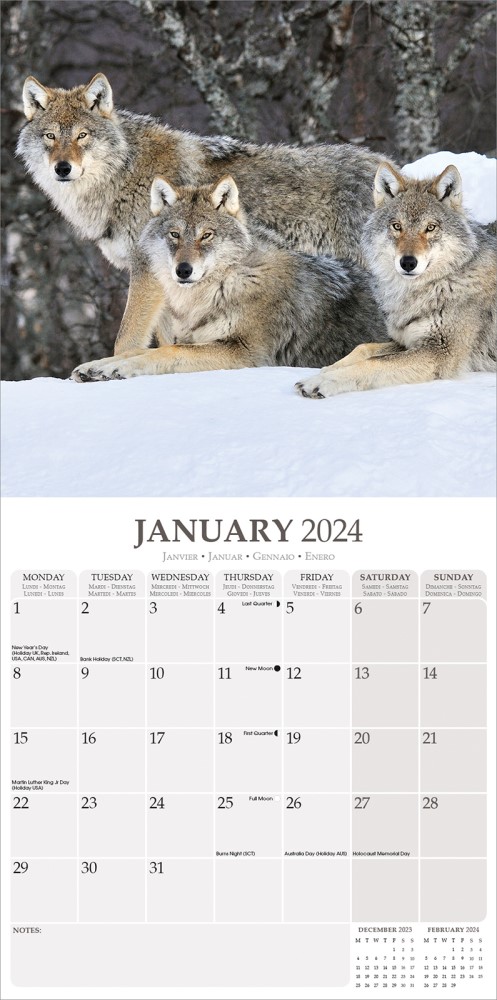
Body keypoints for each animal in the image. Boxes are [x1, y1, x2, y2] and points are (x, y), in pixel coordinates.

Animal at [17, 72, 389, 356]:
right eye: (50, 136)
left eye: (82, 136)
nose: (62, 168)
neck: (123, 174)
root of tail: (391, 167)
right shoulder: (165, 275)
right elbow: (168, 338)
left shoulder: (146, 272)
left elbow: (127, 340)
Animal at [70, 175, 387, 381]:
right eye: (175, 234)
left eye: (206, 235)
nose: (183, 270)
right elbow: (135, 351)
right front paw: (99, 365)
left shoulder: (246, 353)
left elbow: (168, 351)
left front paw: (117, 369)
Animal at [296, 160, 497, 399]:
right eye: (397, 226)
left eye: (430, 227)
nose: (408, 262)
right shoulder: (407, 341)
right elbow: (363, 348)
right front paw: (326, 370)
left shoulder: (441, 352)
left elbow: (373, 363)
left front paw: (322, 381)